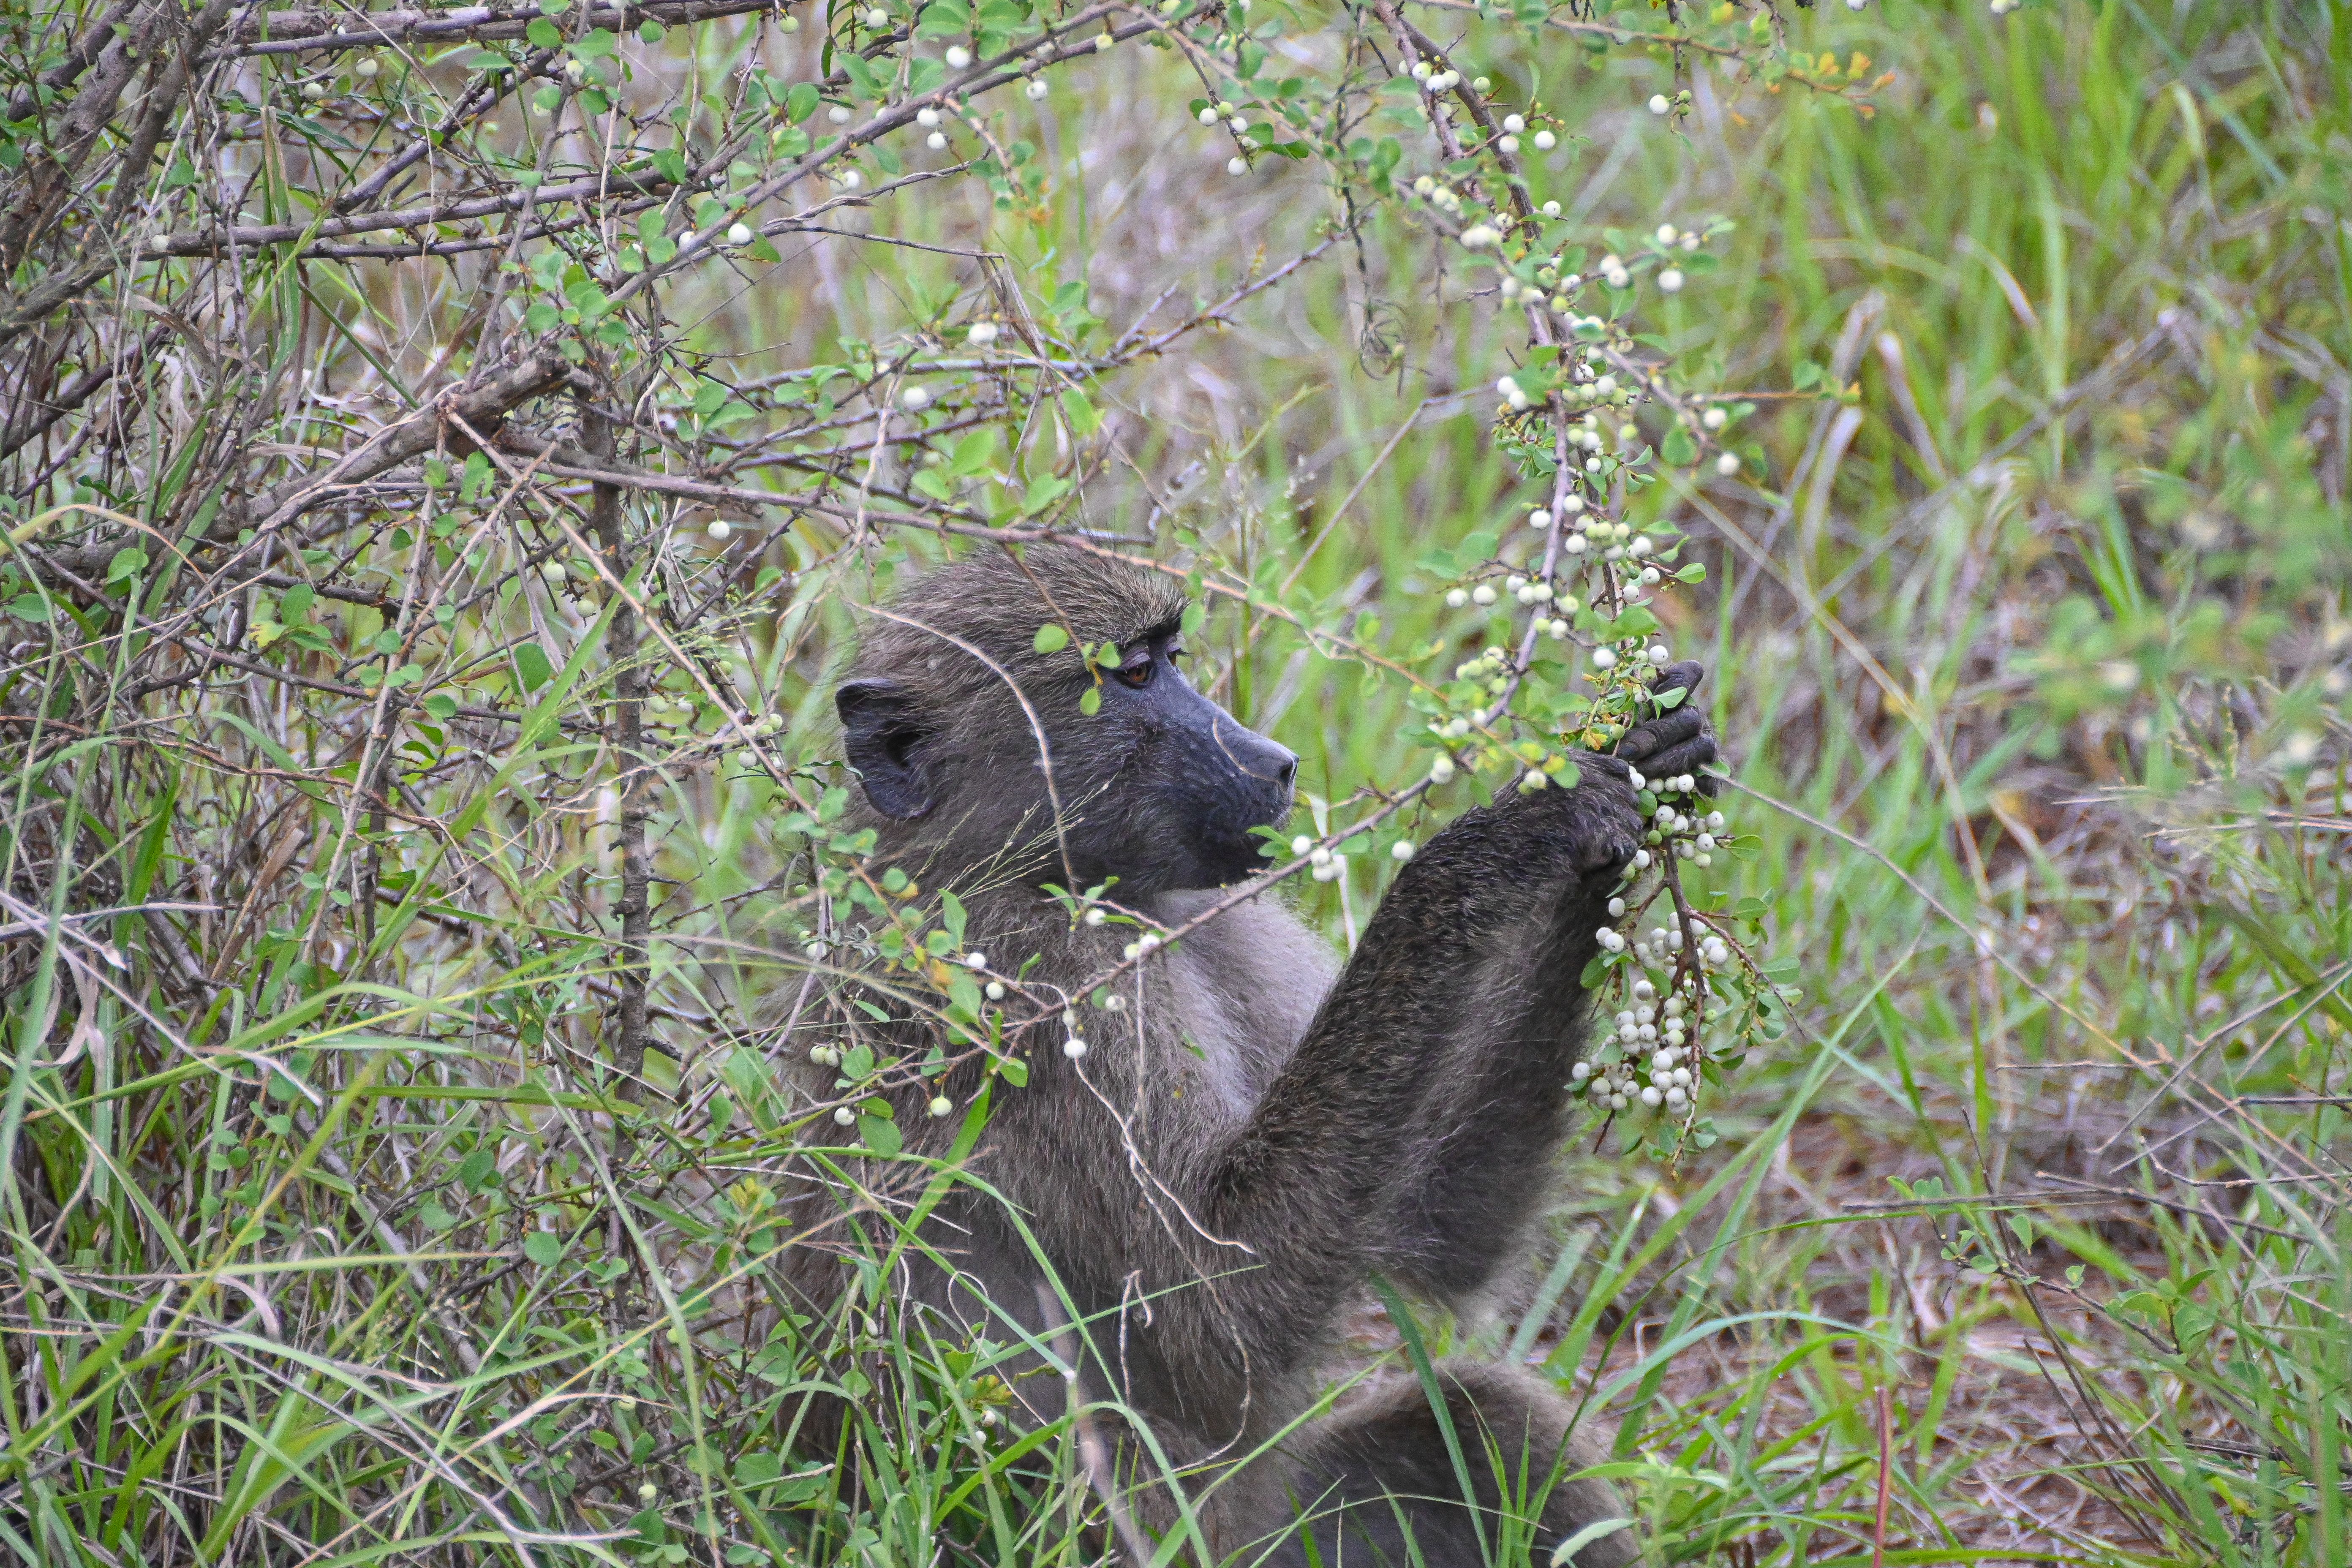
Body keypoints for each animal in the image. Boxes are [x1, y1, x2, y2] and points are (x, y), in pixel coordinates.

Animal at [768, 545, 1719, 1567]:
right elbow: (1225, 1310)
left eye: (1171, 656)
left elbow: (1437, 1225)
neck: (1015, 872)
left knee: (1491, 1422)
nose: (1274, 761)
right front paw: (1509, 834)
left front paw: (1644, 750)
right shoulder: (1032, 990)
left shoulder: (1218, 919)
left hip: (1298, 1521)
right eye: (1132, 675)